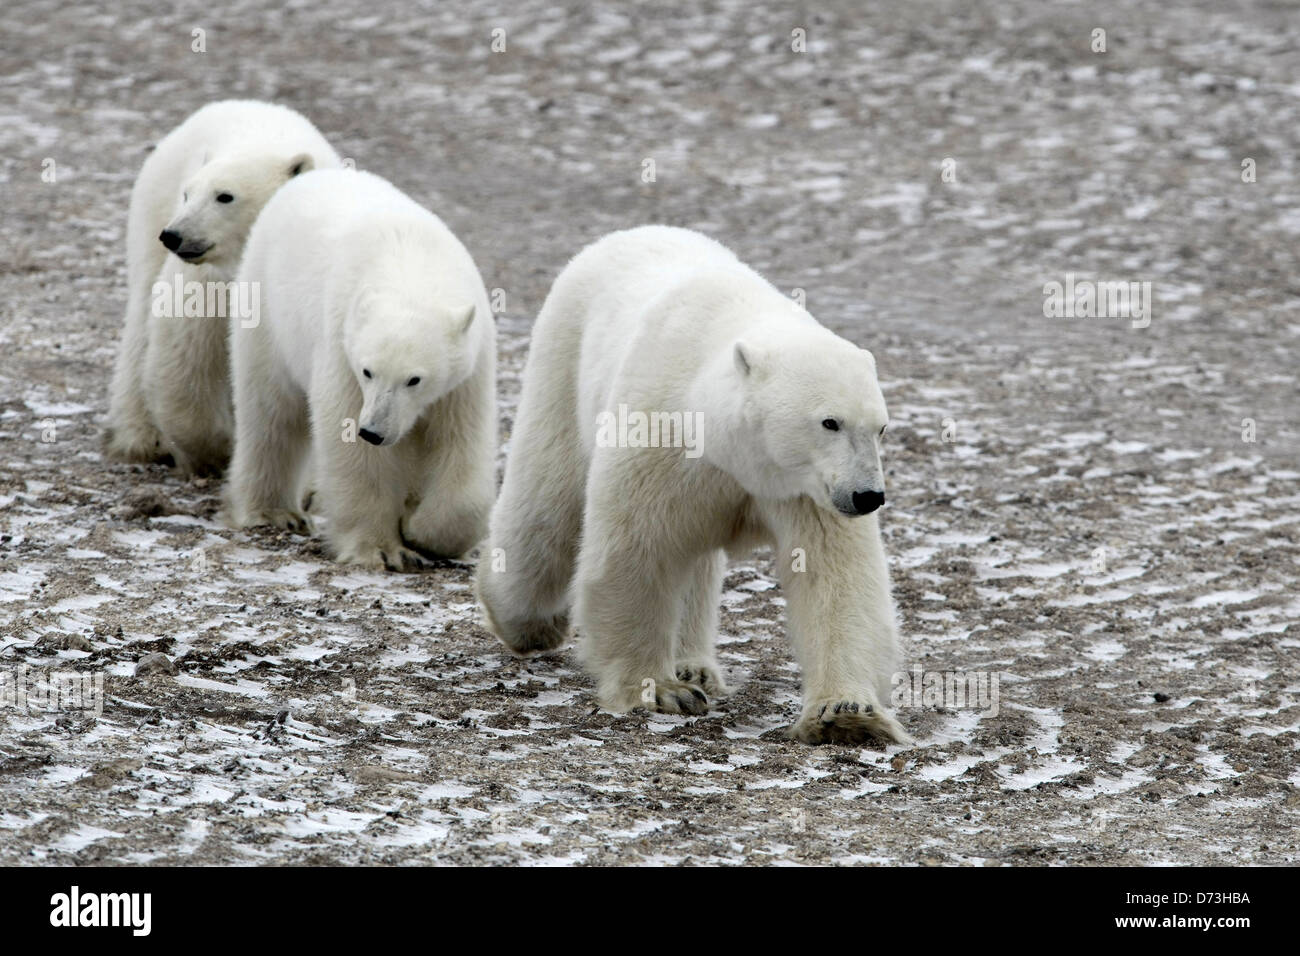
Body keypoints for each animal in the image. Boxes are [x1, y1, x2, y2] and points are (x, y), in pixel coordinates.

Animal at [105, 100, 340, 476]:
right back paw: (141, 438)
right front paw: (215, 451)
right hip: (154, 204)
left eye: (225, 196)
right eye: (188, 193)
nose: (173, 235)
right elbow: (186, 350)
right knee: (142, 315)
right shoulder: (209, 280)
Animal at [224, 168, 497, 570]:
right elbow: (352, 447)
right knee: (272, 413)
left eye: (415, 379)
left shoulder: (466, 375)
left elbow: (459, 441)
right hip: (267, 314)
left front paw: (420, 529)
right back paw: (274, 511)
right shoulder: (342, 347)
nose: (373, 431)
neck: (409, 263)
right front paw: (384, 549)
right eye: (368, 372)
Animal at [475, 225, 909, 745]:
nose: (868, 496)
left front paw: (846, 716)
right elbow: (637, 550)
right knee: (547, 501)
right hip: (564, 361)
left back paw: (693, 665)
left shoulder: (806, 492)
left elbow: (837, 575)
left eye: (880, 428)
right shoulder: (660, 436)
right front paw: (662, 691)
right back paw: (527, 622)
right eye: (830, 422)